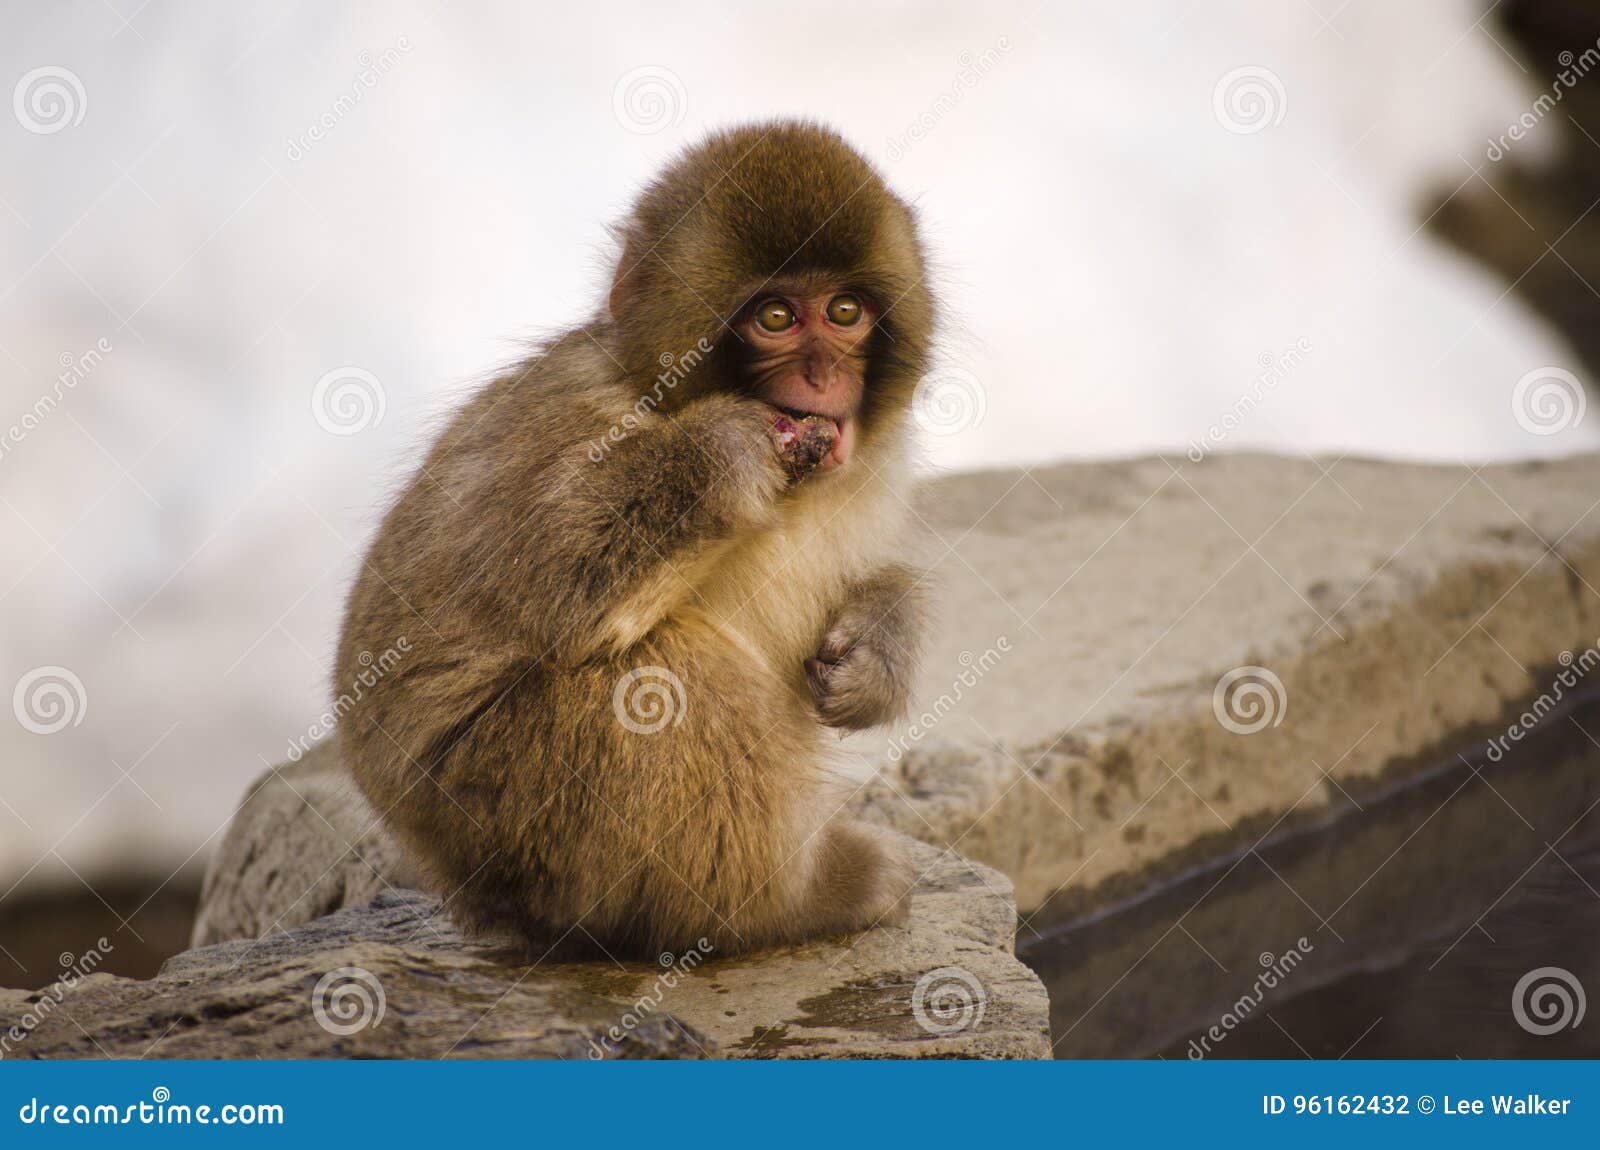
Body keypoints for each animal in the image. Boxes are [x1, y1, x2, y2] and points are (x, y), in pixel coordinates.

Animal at [334, 120, 936, 958]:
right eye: (776, 319)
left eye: (844, 310)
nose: (822, 375)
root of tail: (458, 887)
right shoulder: (563, 422)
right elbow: (559, 574)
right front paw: (723, 451)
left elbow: (877, 577)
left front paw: (879, 646)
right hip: (507, 804)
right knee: (660, 669)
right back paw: (789, 901)